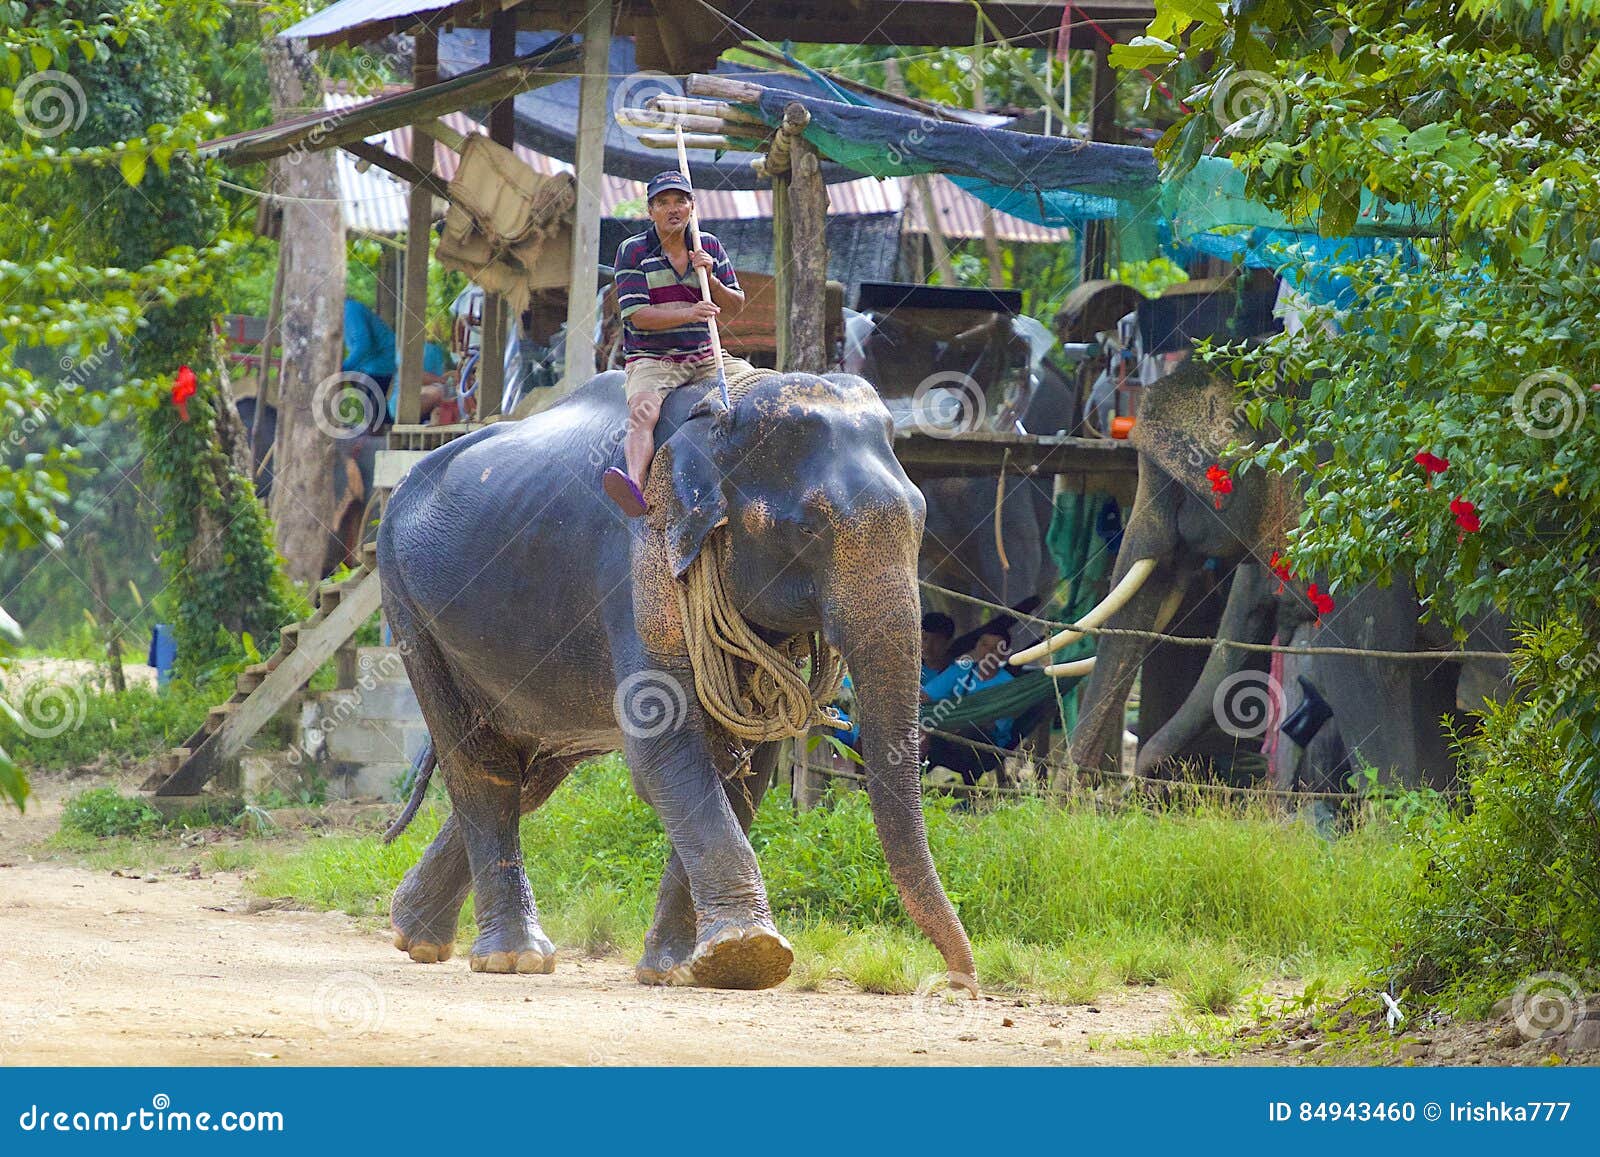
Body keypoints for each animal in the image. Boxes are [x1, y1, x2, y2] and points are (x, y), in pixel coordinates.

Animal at [376, 369, 976, 991]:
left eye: (921, 520)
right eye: (809, 530)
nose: (959, 981)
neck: (717, 426)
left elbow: (747, 765)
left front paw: (678, 970)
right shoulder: (639, 561)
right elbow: (666, 751)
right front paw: (751, 955)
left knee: (532, 775)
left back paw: (414, 934)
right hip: (408, 606)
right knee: (483, 768)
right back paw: (513, 959)